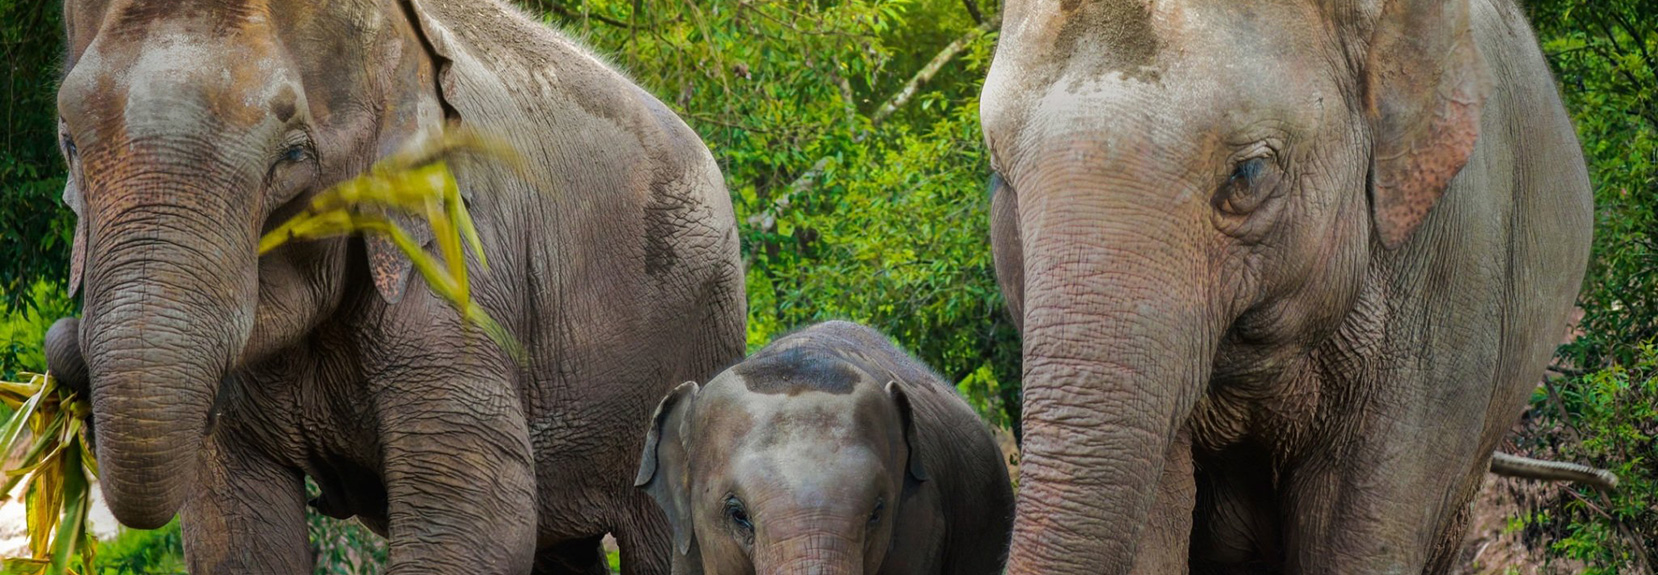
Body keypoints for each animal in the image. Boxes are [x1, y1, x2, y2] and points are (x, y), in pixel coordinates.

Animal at [46, 0, 745, 572]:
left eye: (293, 155)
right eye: (69, 142)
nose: (64, 346)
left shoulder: (458, 249)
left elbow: (479, 506)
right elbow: (232, 520)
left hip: (692, 334)